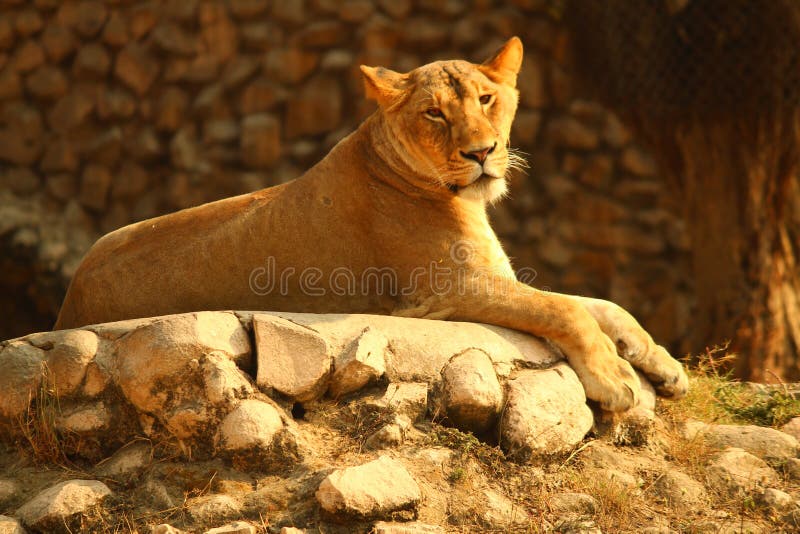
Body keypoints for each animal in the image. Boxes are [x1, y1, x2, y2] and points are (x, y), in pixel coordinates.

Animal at [55, 37, 688, 412]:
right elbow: (566, 310)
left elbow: (600, 305)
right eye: (435, 113)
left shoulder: (495, 277)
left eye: (487, 99)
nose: (483, 153)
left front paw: (663, 364)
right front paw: (614, 380)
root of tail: (69, 301)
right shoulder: (449, 290)